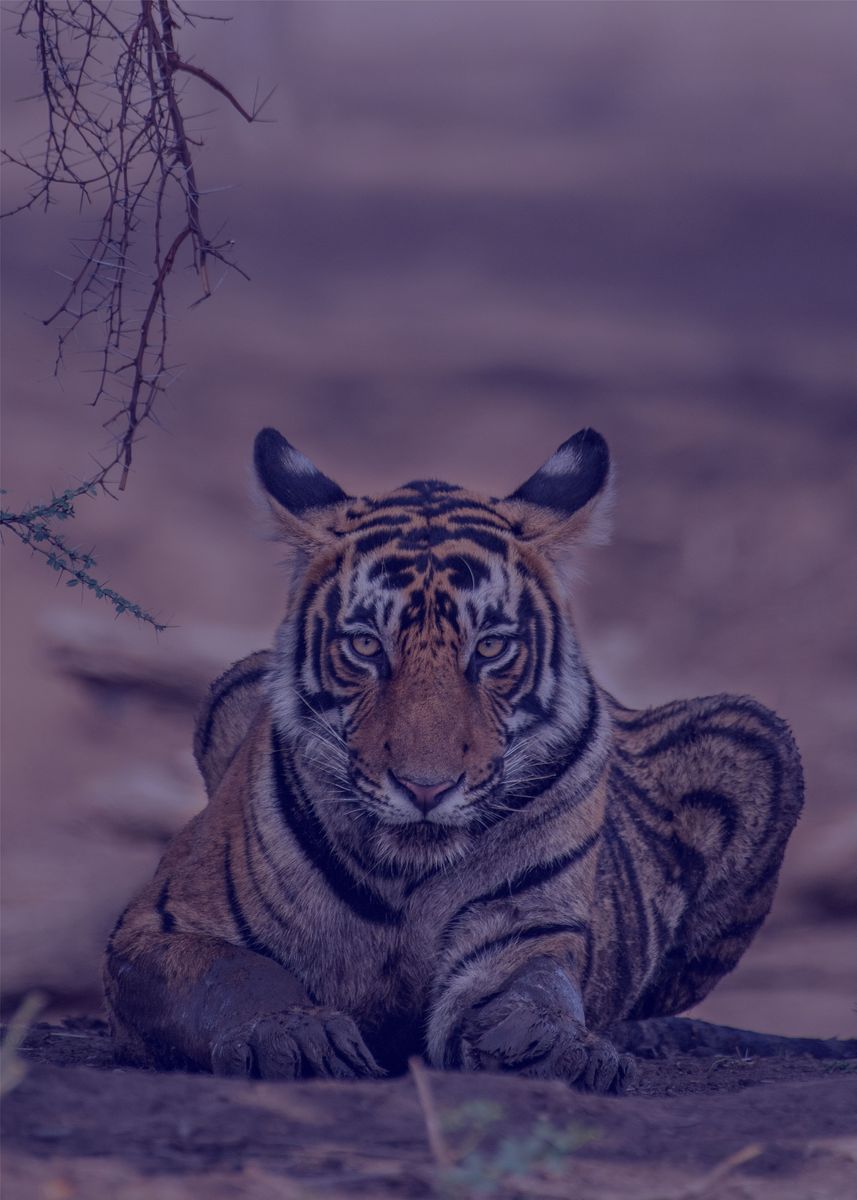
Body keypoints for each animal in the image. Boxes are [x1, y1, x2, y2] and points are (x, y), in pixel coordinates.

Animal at [103, 426, 805, 1092]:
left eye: (490, 648)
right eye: (366, 645)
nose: (425, 788)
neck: (405, 875)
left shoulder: (523, 931)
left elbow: (536, 988)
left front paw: (553, 1045)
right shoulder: (157, 926)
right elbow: (235, 973)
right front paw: (295, 1036)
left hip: (758, 734)